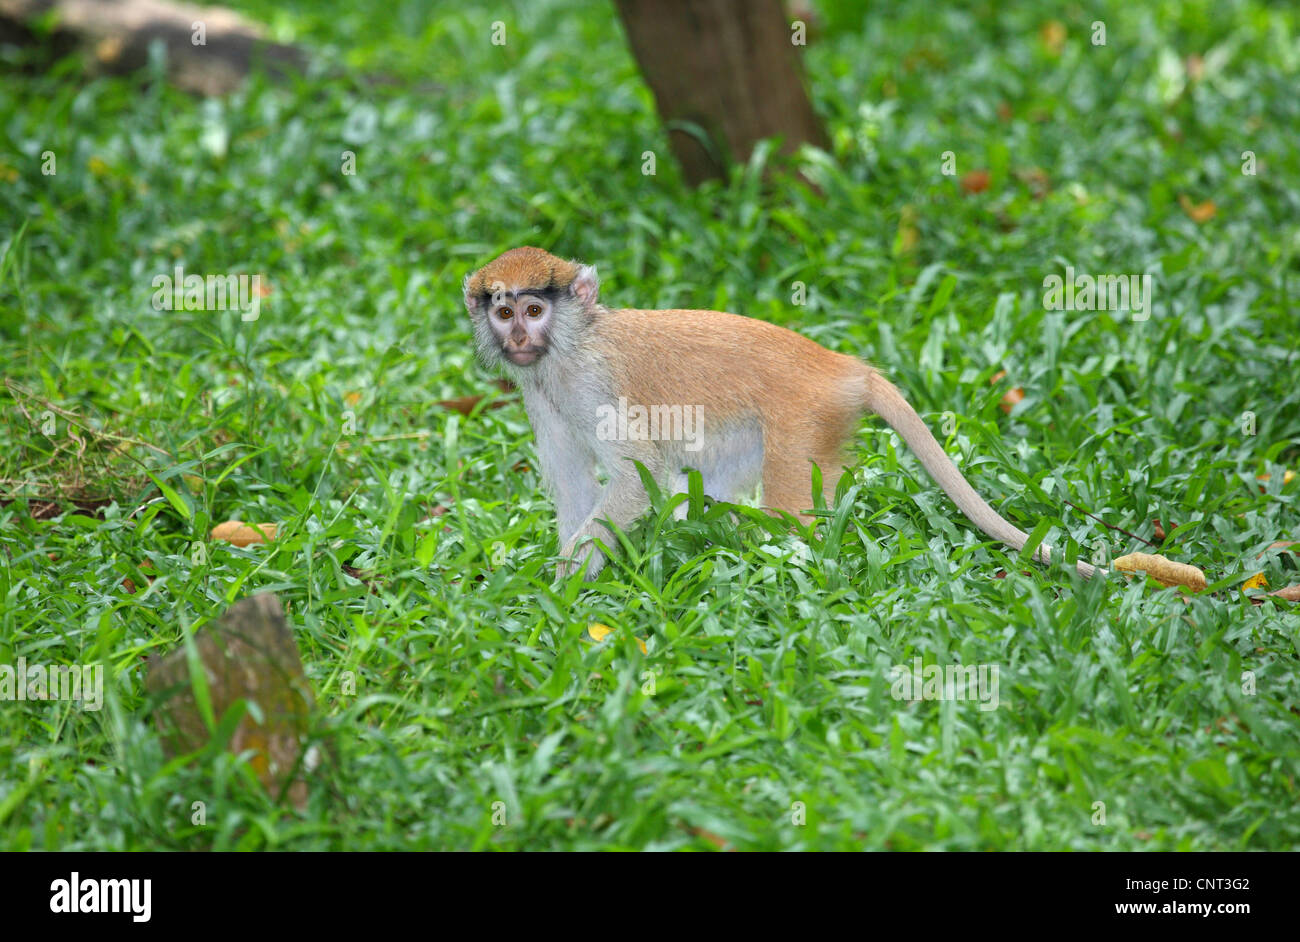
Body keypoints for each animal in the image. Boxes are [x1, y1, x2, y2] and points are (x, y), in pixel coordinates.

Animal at [463, 246, 1100, 581]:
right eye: (502, 311)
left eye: (535, 309)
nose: (517, 336)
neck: (569, 346)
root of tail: (844, 368)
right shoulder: (542, 395)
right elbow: (575, 483)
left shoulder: (594, 384)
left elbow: (637, 477)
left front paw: (565, 582)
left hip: (806, 419)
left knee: (790, 511)